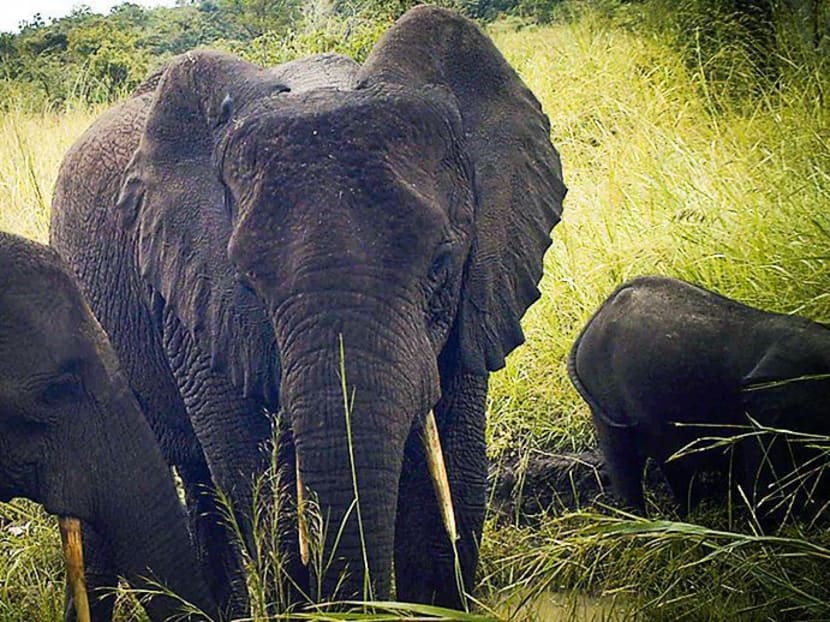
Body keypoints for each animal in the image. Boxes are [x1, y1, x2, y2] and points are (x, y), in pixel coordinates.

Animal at [50, 6, 566, 611]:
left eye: (441, 262)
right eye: (248, 281)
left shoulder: (474, 294)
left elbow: (453, 484)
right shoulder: (193, 305)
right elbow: (261, 495)